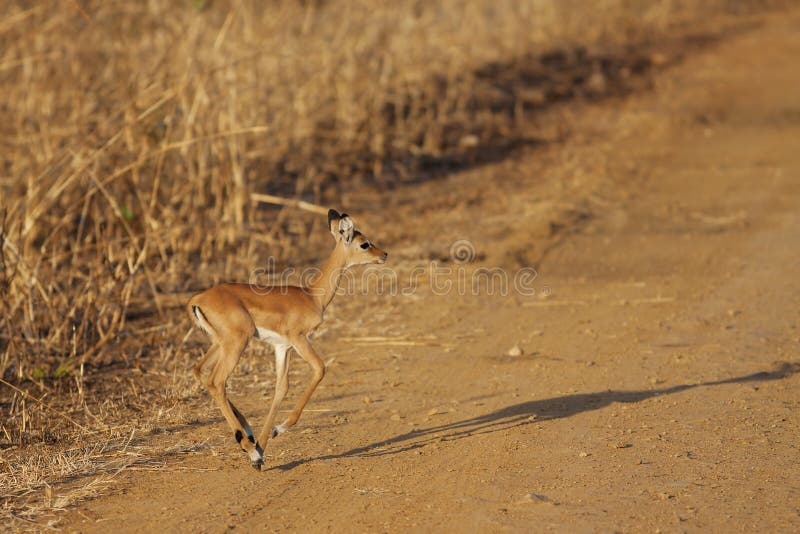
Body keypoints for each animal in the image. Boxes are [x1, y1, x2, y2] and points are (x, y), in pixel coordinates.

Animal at [187, 209, 387, 469]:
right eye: (364, 243)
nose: (384, 255)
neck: (312, 296)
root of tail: (198, 299)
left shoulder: (283, 347)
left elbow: (281, 388)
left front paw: (264, 444)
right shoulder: (299, 340)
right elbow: (320, 369)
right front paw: (275, 433)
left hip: (220, 343)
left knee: (200, 371)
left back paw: (250, 440)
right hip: (236, 342)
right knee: (217, 381)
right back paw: (250, 450)